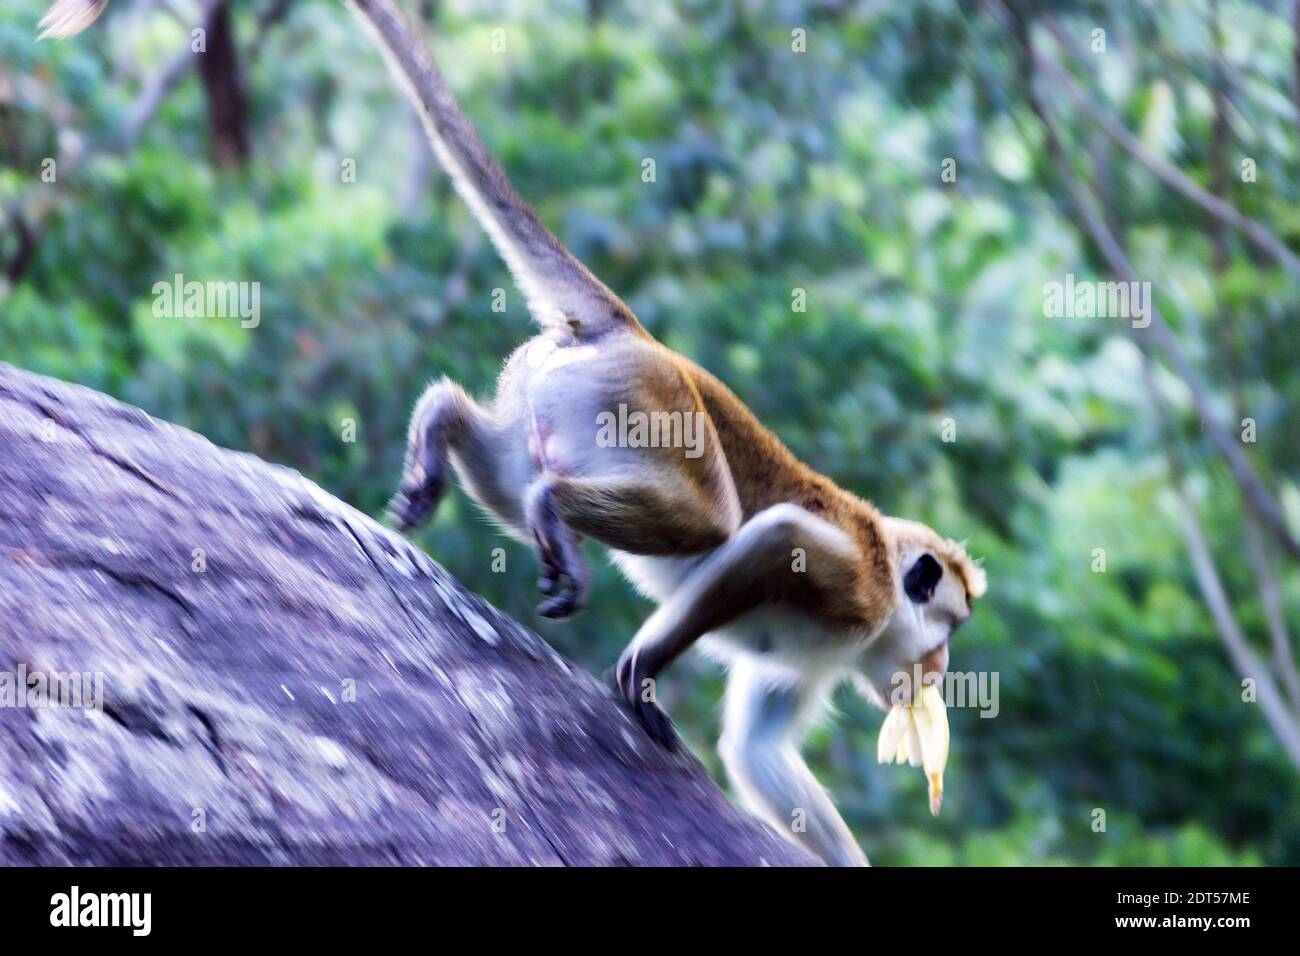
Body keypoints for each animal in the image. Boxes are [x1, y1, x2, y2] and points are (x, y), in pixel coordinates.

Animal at [40, 0, 986, 867]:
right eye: (948, 631)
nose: (939, 672)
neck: (875, 615)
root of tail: (633, 335)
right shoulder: (854, 588)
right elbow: (772, 537)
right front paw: (647, 662)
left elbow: (755, 750)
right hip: (642, 405)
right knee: (704, 515)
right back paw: (554, 509)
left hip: (558, 390)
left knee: (503, 461)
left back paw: (444, 428)